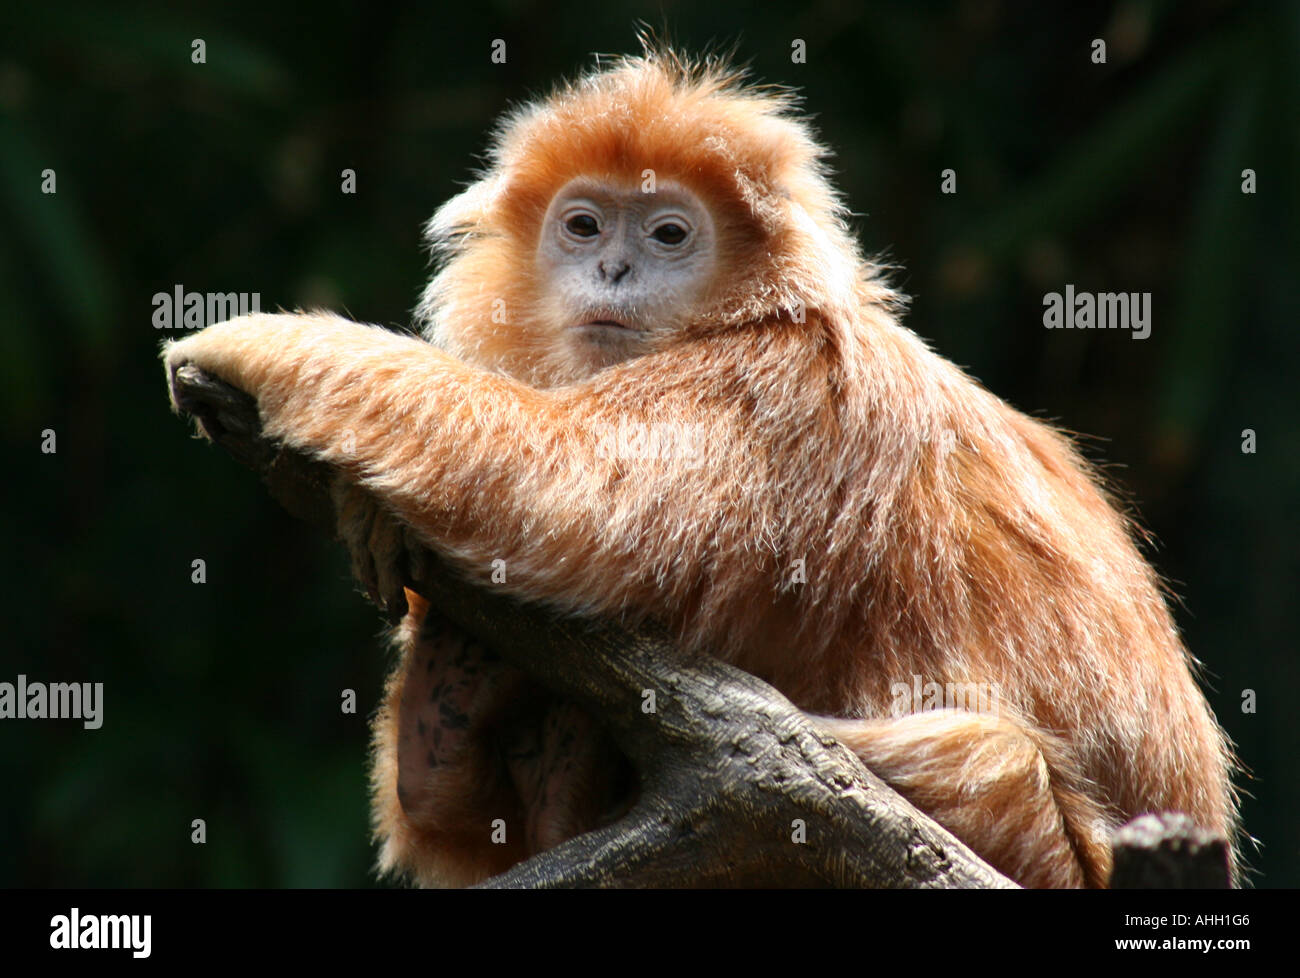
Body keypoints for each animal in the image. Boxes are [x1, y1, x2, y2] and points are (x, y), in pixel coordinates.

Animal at [164, 48, 1238, 889]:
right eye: (585, 226)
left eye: (669, 234)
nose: (614, 271)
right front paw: (379, 529)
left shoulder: (784, 386)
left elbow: (565, 486)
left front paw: (265, 344)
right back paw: (456, 698)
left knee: (982, 757)